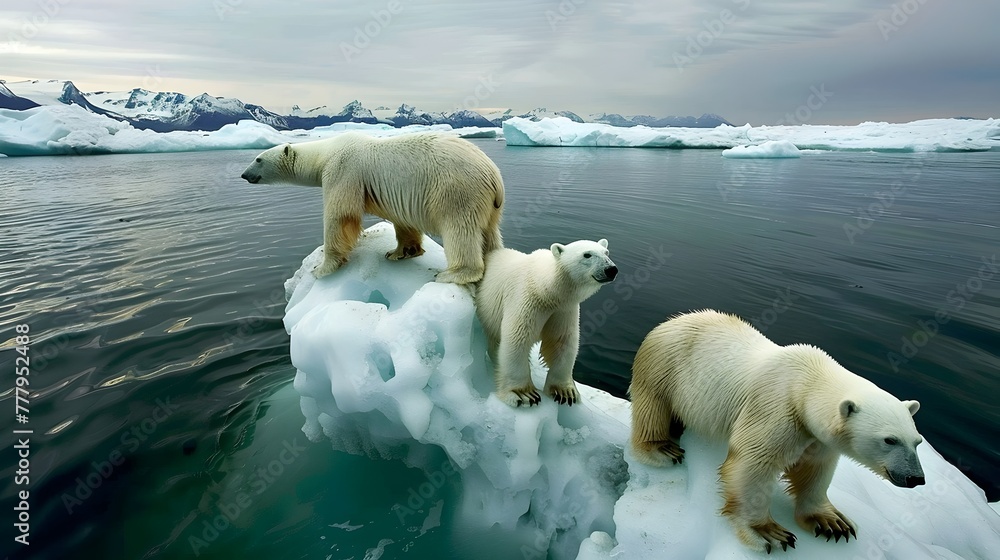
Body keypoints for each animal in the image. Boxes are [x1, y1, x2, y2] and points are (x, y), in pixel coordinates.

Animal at [240, 132, 504, 284]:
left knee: (460, 229)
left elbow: (340, 215)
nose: (243, 175)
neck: (325, 153)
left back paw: (453, 274)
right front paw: (399, 252)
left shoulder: (343, 170)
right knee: (489, 233)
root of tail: (494, 176)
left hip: (456, 190)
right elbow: (402, 222)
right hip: (488, 206)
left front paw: (321, 268)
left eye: (258, 159)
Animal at [474, 239, 618, 407]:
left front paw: (564, 392)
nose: (611, 270)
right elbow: (517, 339)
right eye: (587, 255)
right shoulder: (526, 300)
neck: (545, 290)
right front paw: (524, 394)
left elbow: (562, 341)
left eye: (606, 252)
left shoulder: (563, 310)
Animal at [628, 310, 924, 554]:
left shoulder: (817, 437)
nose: (916, 478)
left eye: (917, 441)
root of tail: (673, 320)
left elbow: (816, 470)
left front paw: (832, 522)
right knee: (653, 407)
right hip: (664, 368)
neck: (807, 382)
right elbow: (752, 465)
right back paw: (661, 448)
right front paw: (767, 532)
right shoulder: (776, 410)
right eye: (890, 440)